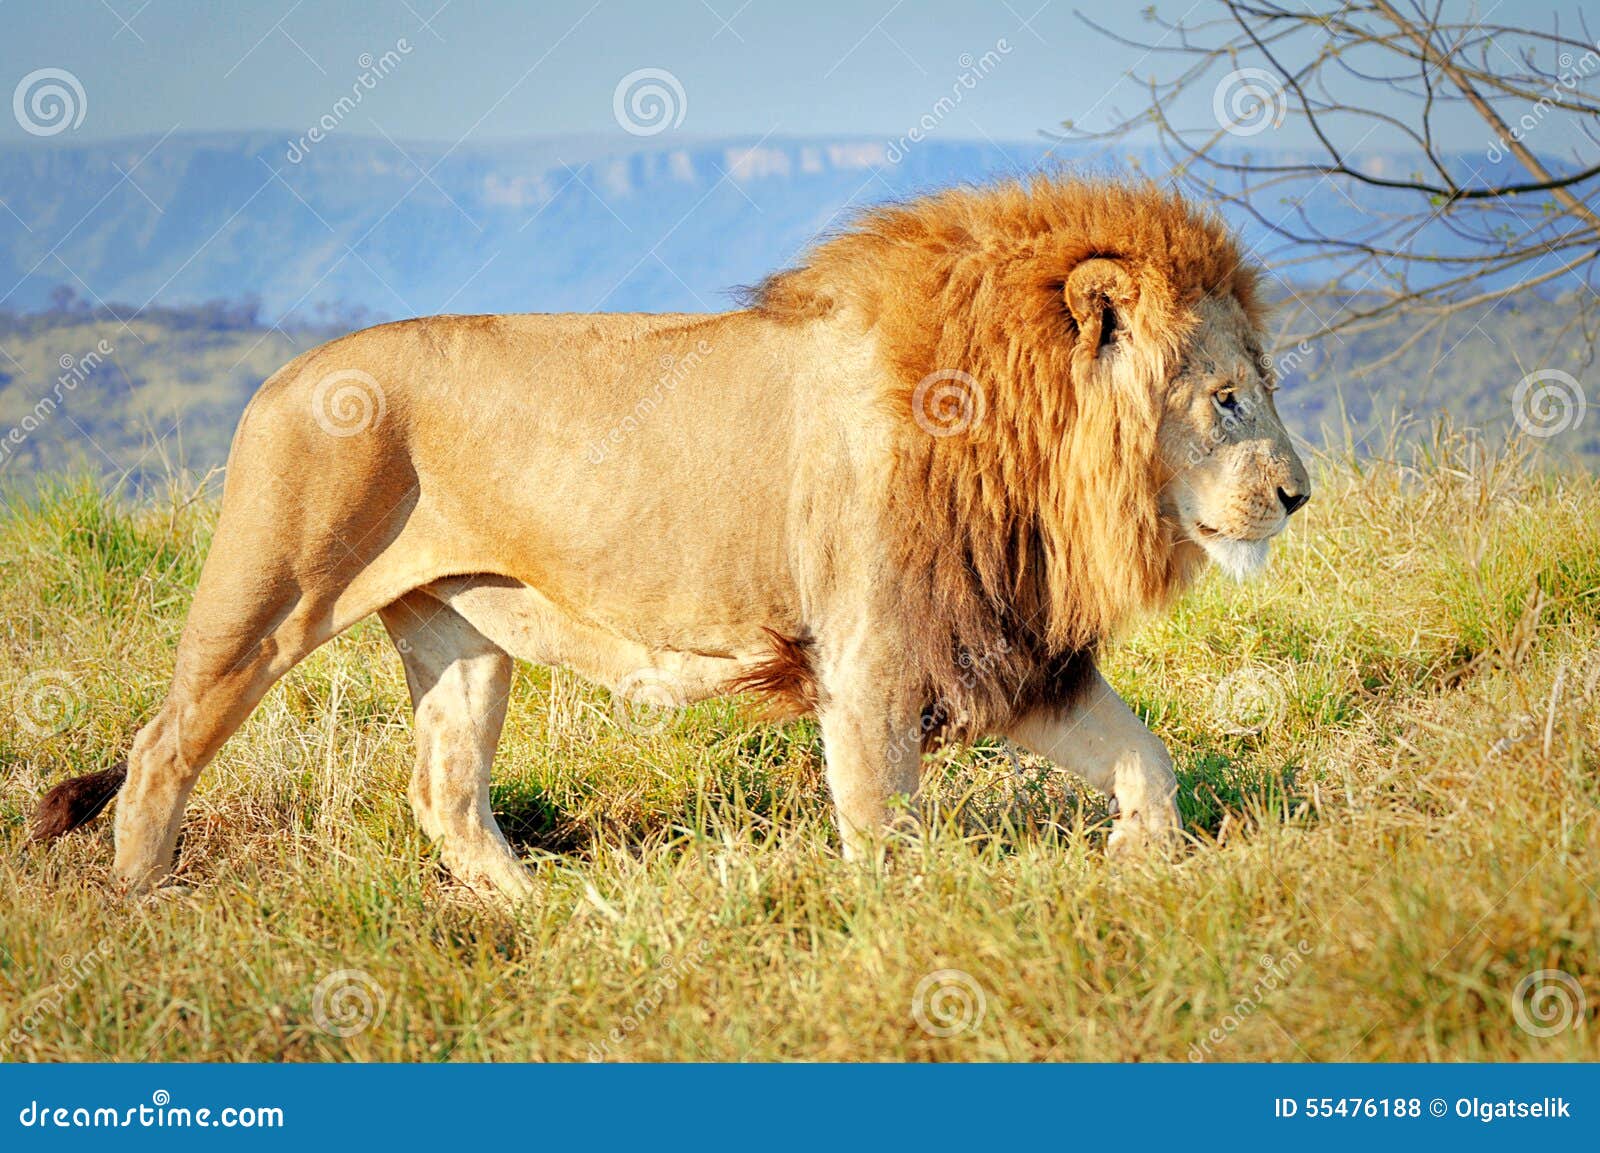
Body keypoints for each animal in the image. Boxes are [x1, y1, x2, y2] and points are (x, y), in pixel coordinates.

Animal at [31, 175, 1309, 899]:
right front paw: (904, 932)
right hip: (268, 591)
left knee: (447, 793)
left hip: (456, 629)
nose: (1299, 495)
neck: (1028, 454)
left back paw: (545, 911)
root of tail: (282, 374)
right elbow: (878, 822)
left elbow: (1145, 758)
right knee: (160, 752)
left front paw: (1140, 870)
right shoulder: (874, 656)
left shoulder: (1008, 648)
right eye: (1226, 398)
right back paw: (144, 904)